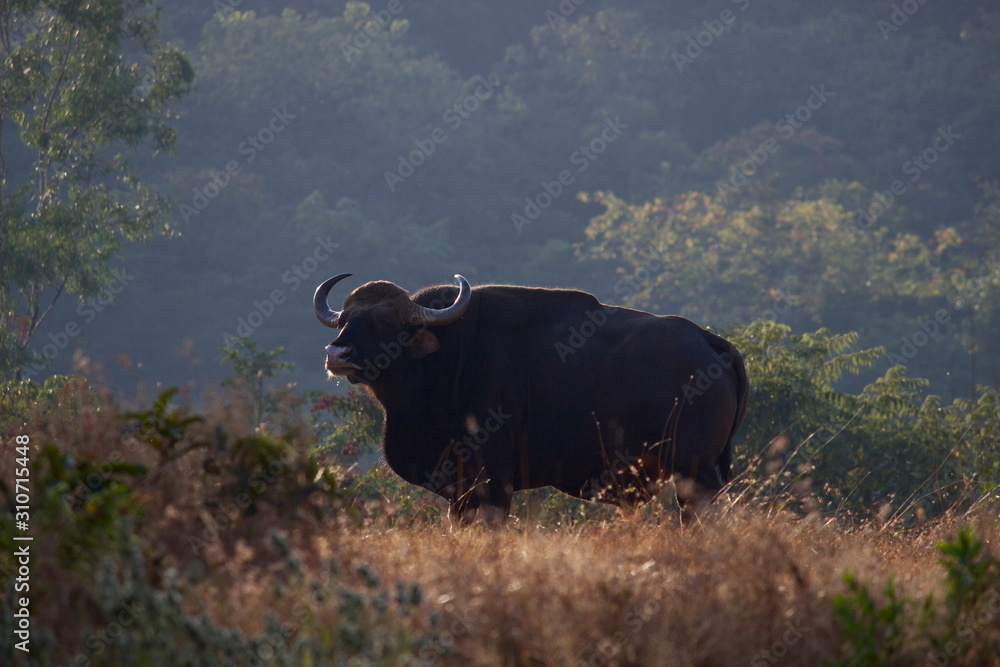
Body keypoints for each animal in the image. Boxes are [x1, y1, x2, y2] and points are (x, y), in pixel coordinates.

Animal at [315, 274, 748, 520]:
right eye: (345, 319)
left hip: (695, 470)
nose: (336, 354)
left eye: (382, 321)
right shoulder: (460, 492)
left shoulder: (493, 481)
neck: (447, 360)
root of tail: (710, 342)